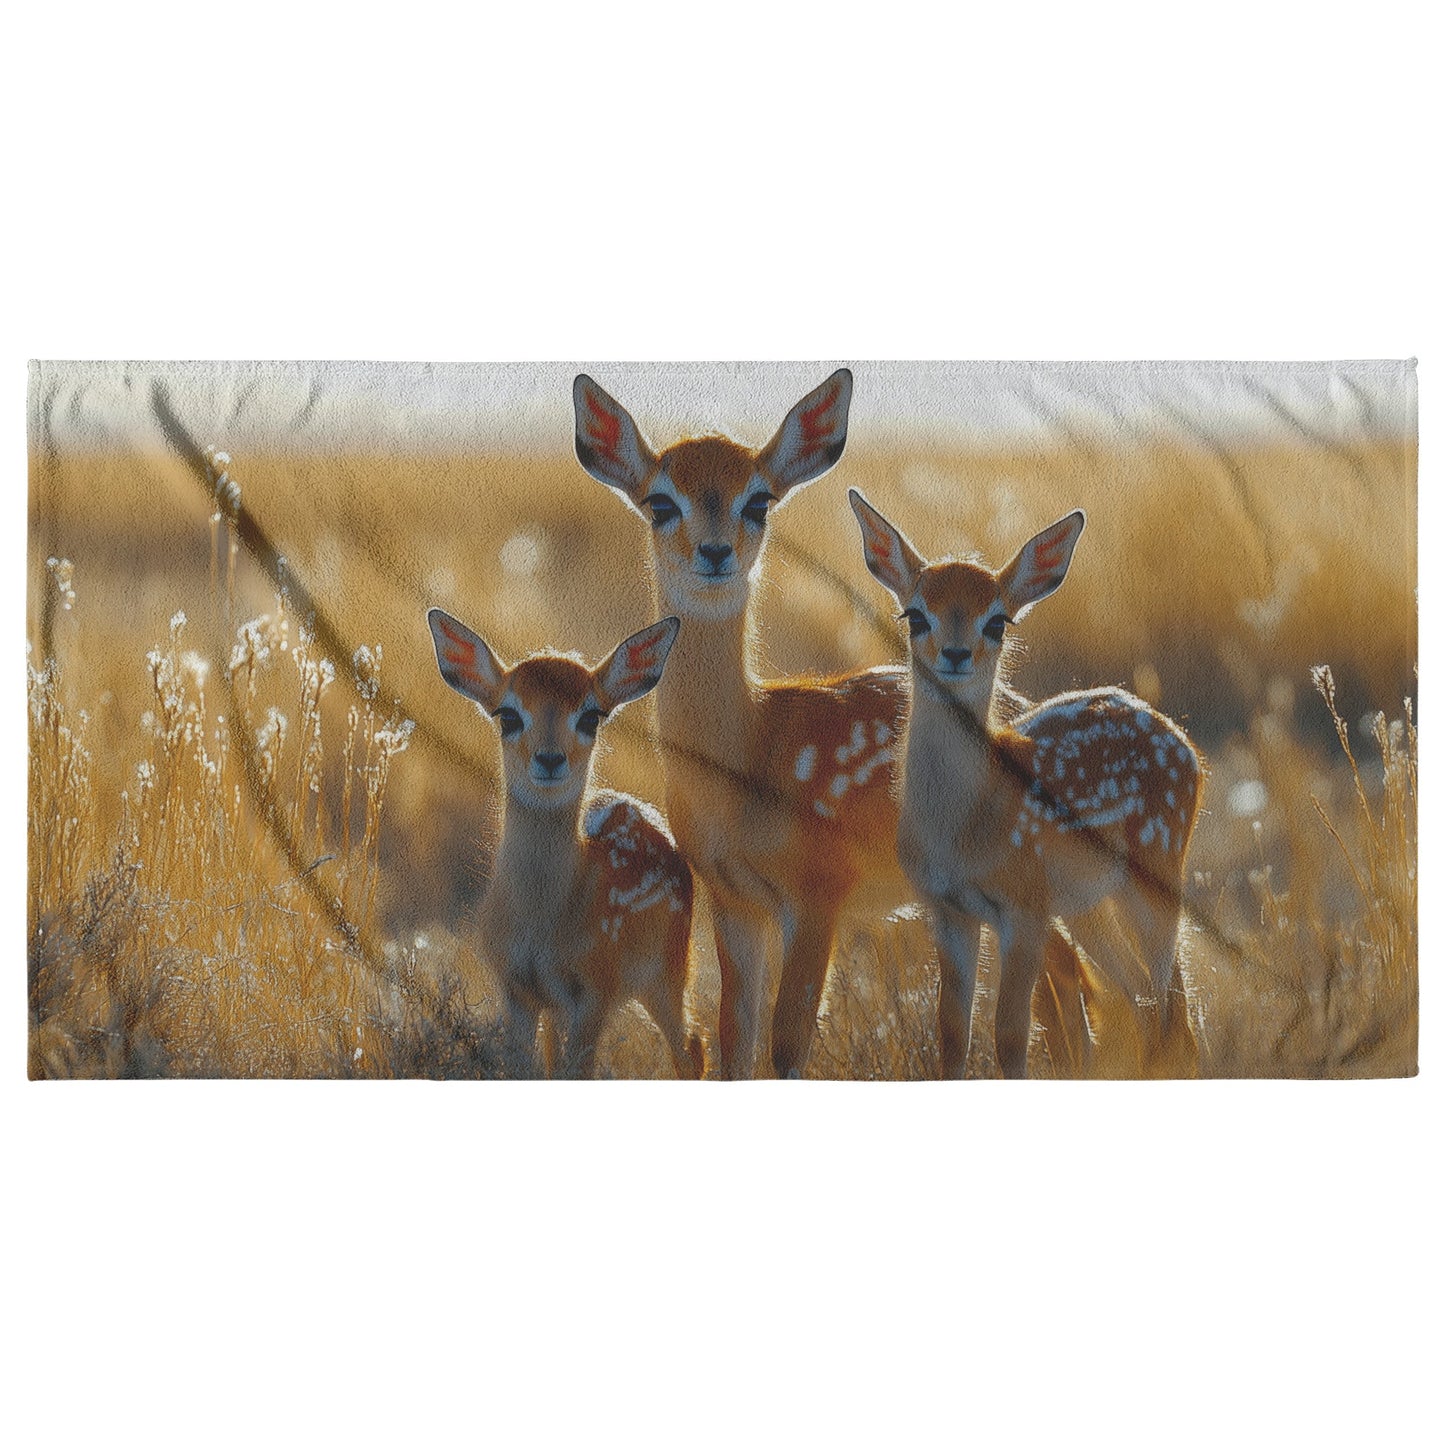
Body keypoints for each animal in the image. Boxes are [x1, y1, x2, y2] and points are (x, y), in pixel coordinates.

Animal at [427, 607, 702, 1079]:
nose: (550, 758)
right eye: (508, 715)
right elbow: (522, 1068)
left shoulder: (596, 985)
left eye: (591, 716)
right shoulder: (514, 985)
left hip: (669, 966)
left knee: (692, 1048)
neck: (545, 923)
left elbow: (580, 1071)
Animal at [848, 489, 1204, 1078]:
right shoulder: (947, 909)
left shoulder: (1026, 906)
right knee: (1143, 1000)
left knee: (1175, 1010)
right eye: (915, 613)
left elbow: (1011, 1034)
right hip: (1088, 903)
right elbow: (953, 1033)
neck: (967, 826)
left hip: (1158, 870)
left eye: (998, 621)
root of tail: (1186, 746)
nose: (955, 654)